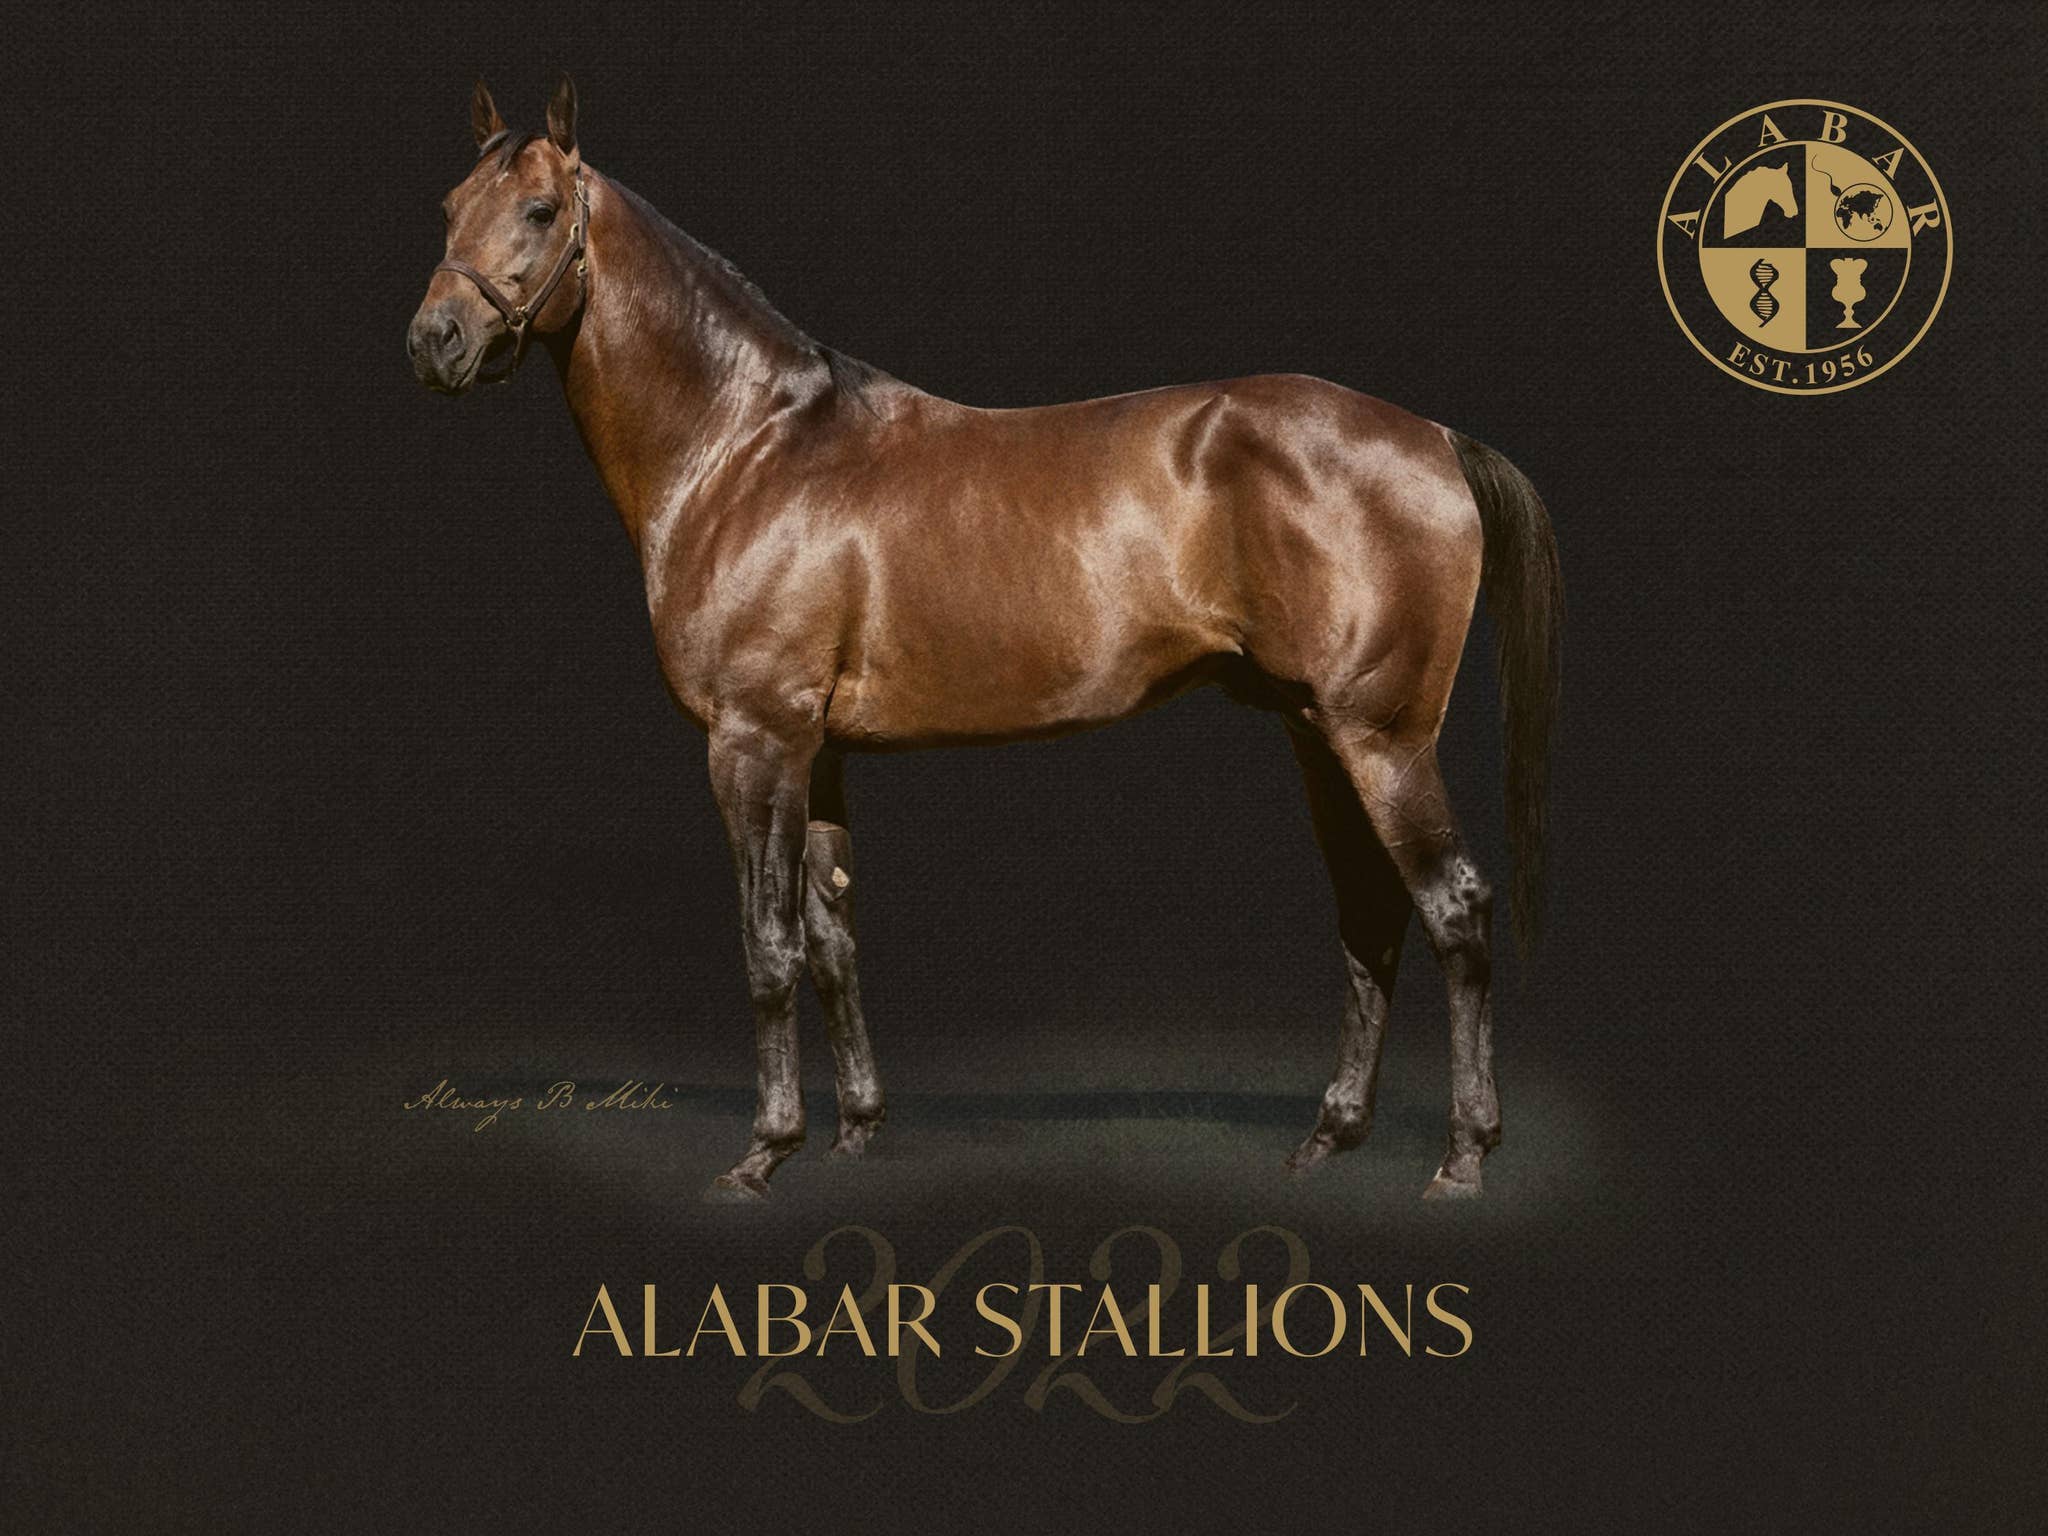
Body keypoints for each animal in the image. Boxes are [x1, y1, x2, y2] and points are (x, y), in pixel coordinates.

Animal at [407, 78, 1562, 1201]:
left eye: (540, 210)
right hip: (1317, 734)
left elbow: (768, 948)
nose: (434, 343)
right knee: (1371, 914)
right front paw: (853, 1132)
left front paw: (764, 1151)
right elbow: (831, 938)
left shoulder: (751, 741)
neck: (748, 449)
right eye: (448, 207)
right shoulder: (817, 752)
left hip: (1382, 740)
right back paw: (1328, 1138)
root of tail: (1434, 438)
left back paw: (1462, 1157)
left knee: (1452, 908)